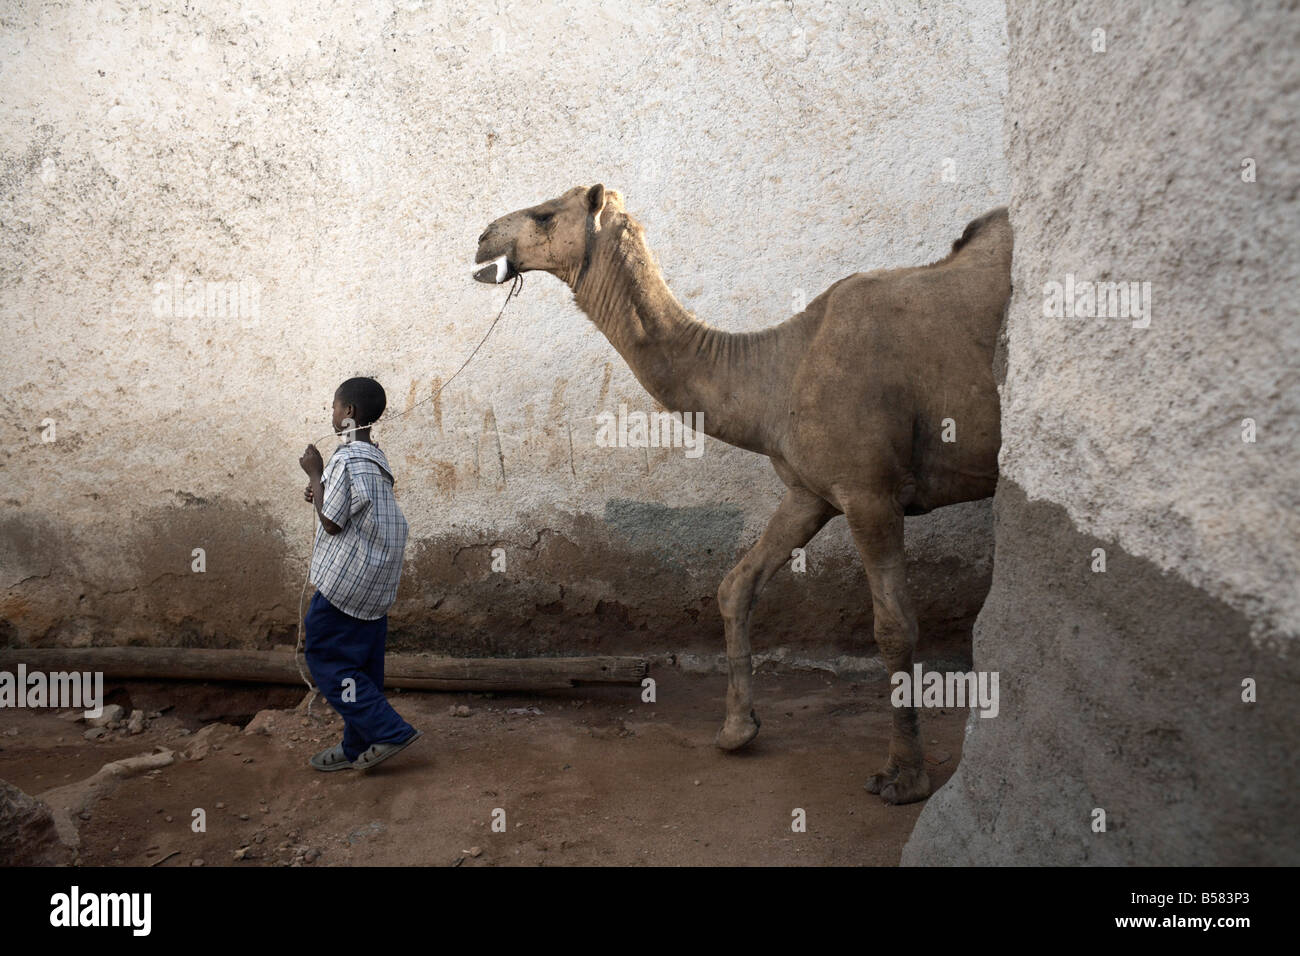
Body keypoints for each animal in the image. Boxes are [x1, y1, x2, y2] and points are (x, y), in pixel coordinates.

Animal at [474, 186, 1011, 804]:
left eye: (545, 215)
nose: (482, 237)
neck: (779, 367)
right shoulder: (811, 492)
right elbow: (736, 586)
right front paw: (737, 730)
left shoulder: (869, 491)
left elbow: (894, 626)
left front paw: (903, 776)